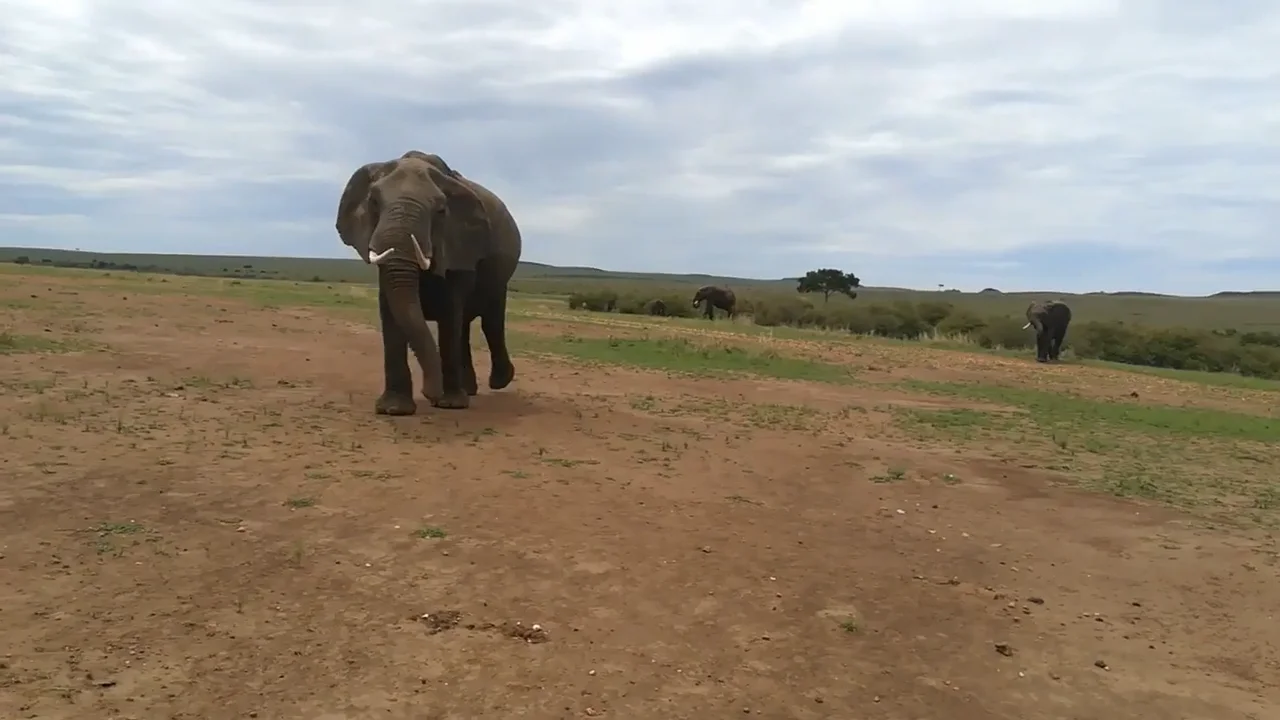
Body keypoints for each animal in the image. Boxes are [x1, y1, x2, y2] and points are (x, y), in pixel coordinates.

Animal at [335, 150, 521, 414]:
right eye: (374, 202)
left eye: (441, 211)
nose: (429, 393)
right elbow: (391, 312)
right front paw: (394, 409)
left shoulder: (458, 244)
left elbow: (449, 313)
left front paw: (450, 404)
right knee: (465, 326)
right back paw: (470, 389)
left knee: (489, 321)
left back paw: (497, 382)